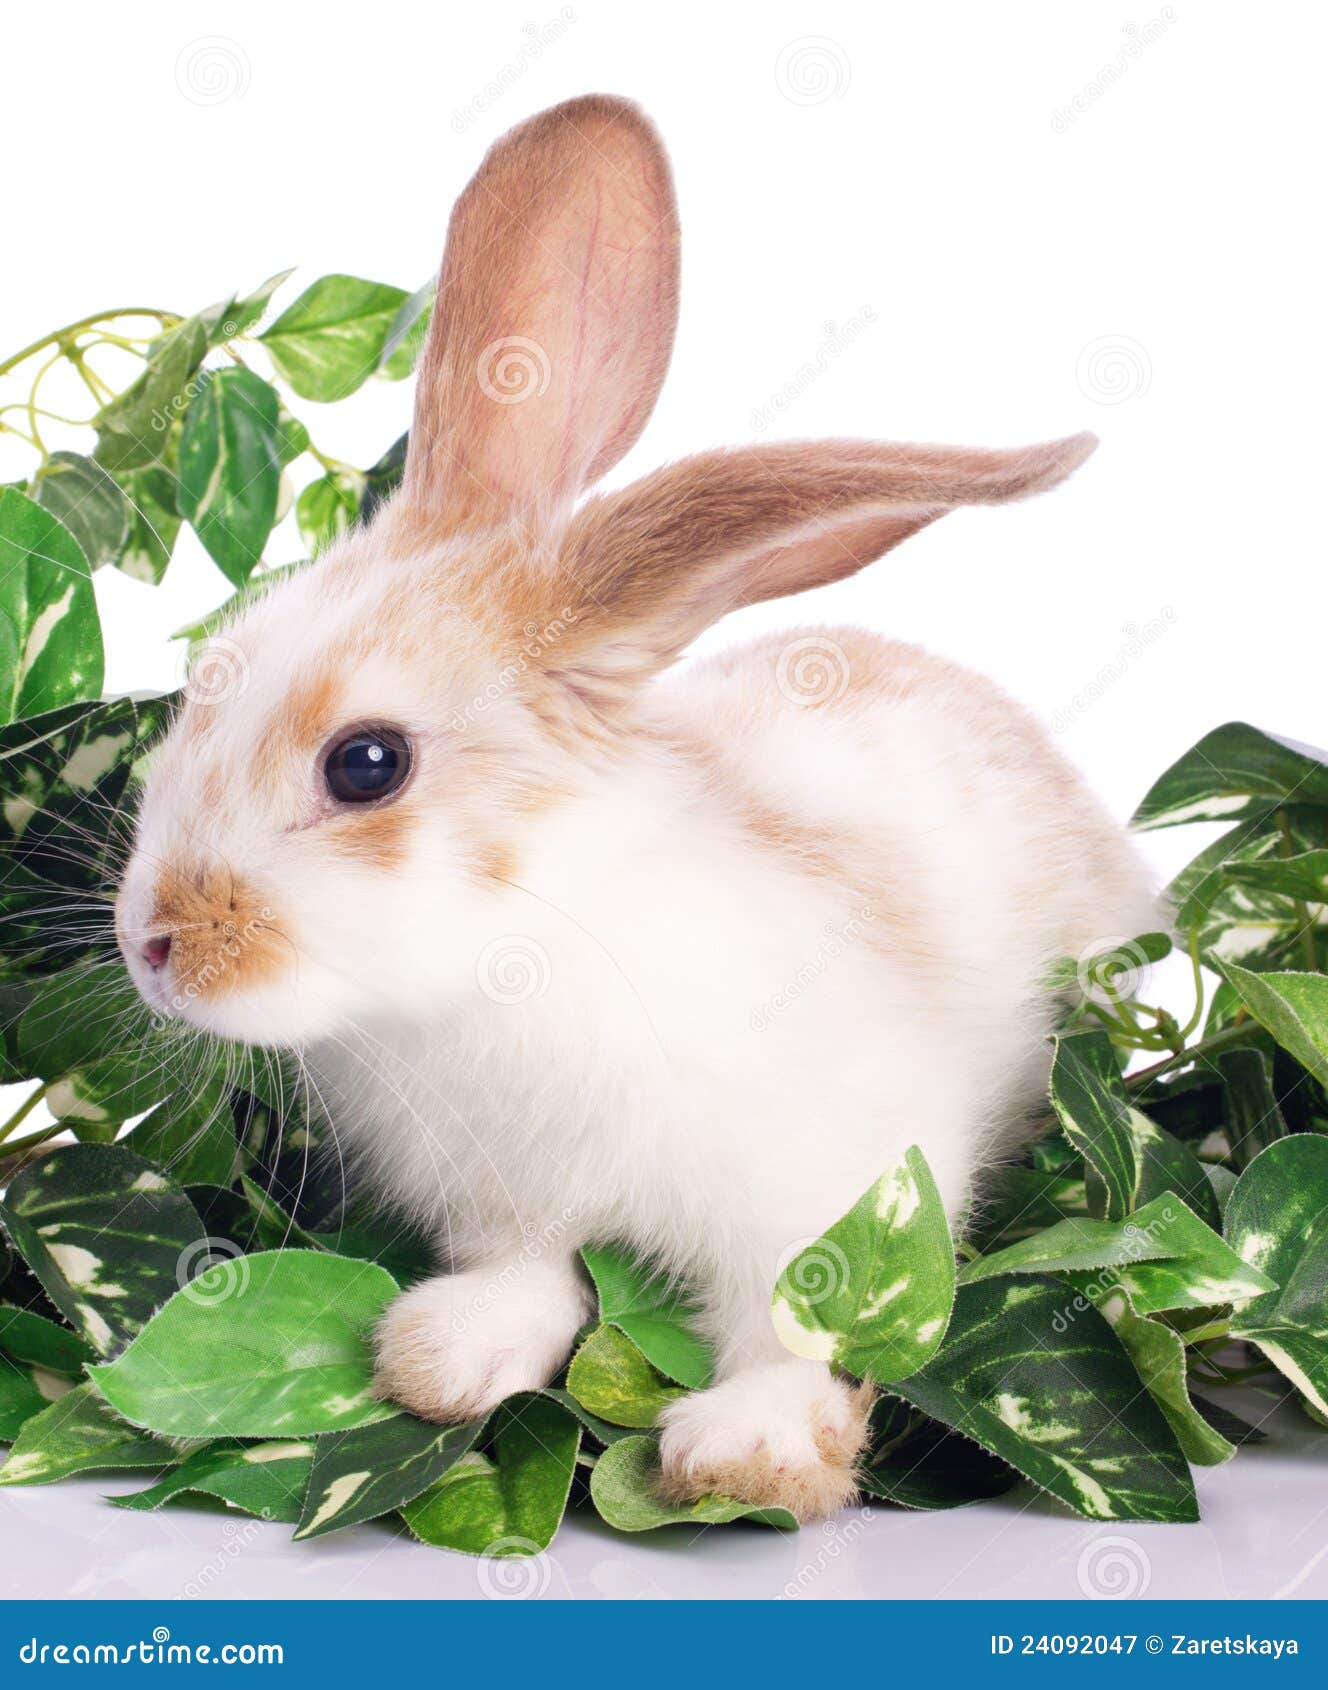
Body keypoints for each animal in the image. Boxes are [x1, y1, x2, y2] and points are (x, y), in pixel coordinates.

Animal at [116, 94, 1157, 1522]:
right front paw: (441, 1358)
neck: (509, 954)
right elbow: (532, 1278)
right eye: (201, 681)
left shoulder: (838, 1198)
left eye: (366, 764)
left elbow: (792, 1328)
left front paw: (748, 1451)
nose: (152, 947)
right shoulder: (505, 1204)